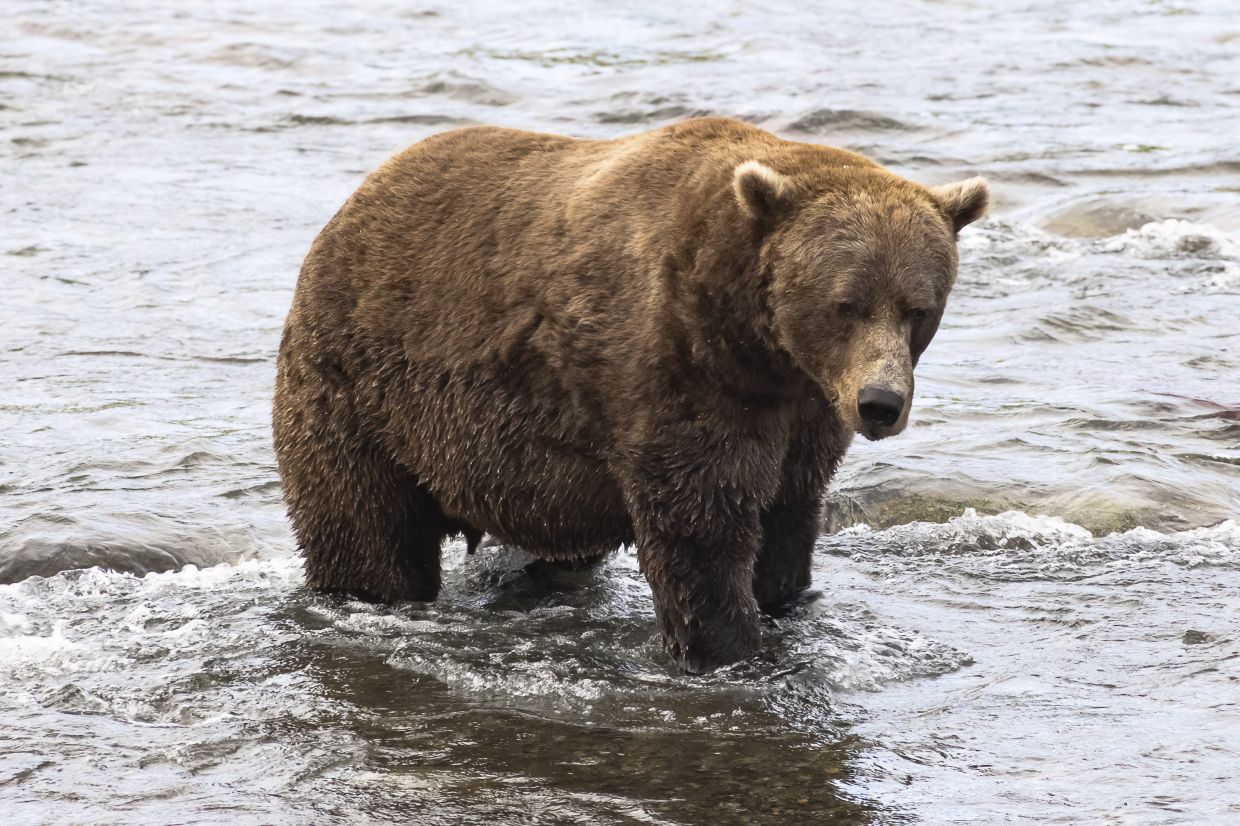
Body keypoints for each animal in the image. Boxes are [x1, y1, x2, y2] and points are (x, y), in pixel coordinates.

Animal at [272, 117, 987, 673]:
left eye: (918, 308)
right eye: (847, 304)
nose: (879, 403)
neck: (759, 346)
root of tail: (353, 203)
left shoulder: (804, 414)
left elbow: (786, 514)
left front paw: (784, 601)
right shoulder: (679, 370)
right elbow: (701, 523)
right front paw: (733, 649)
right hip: (363, 389)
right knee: (364, 525)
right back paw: (368, 593)